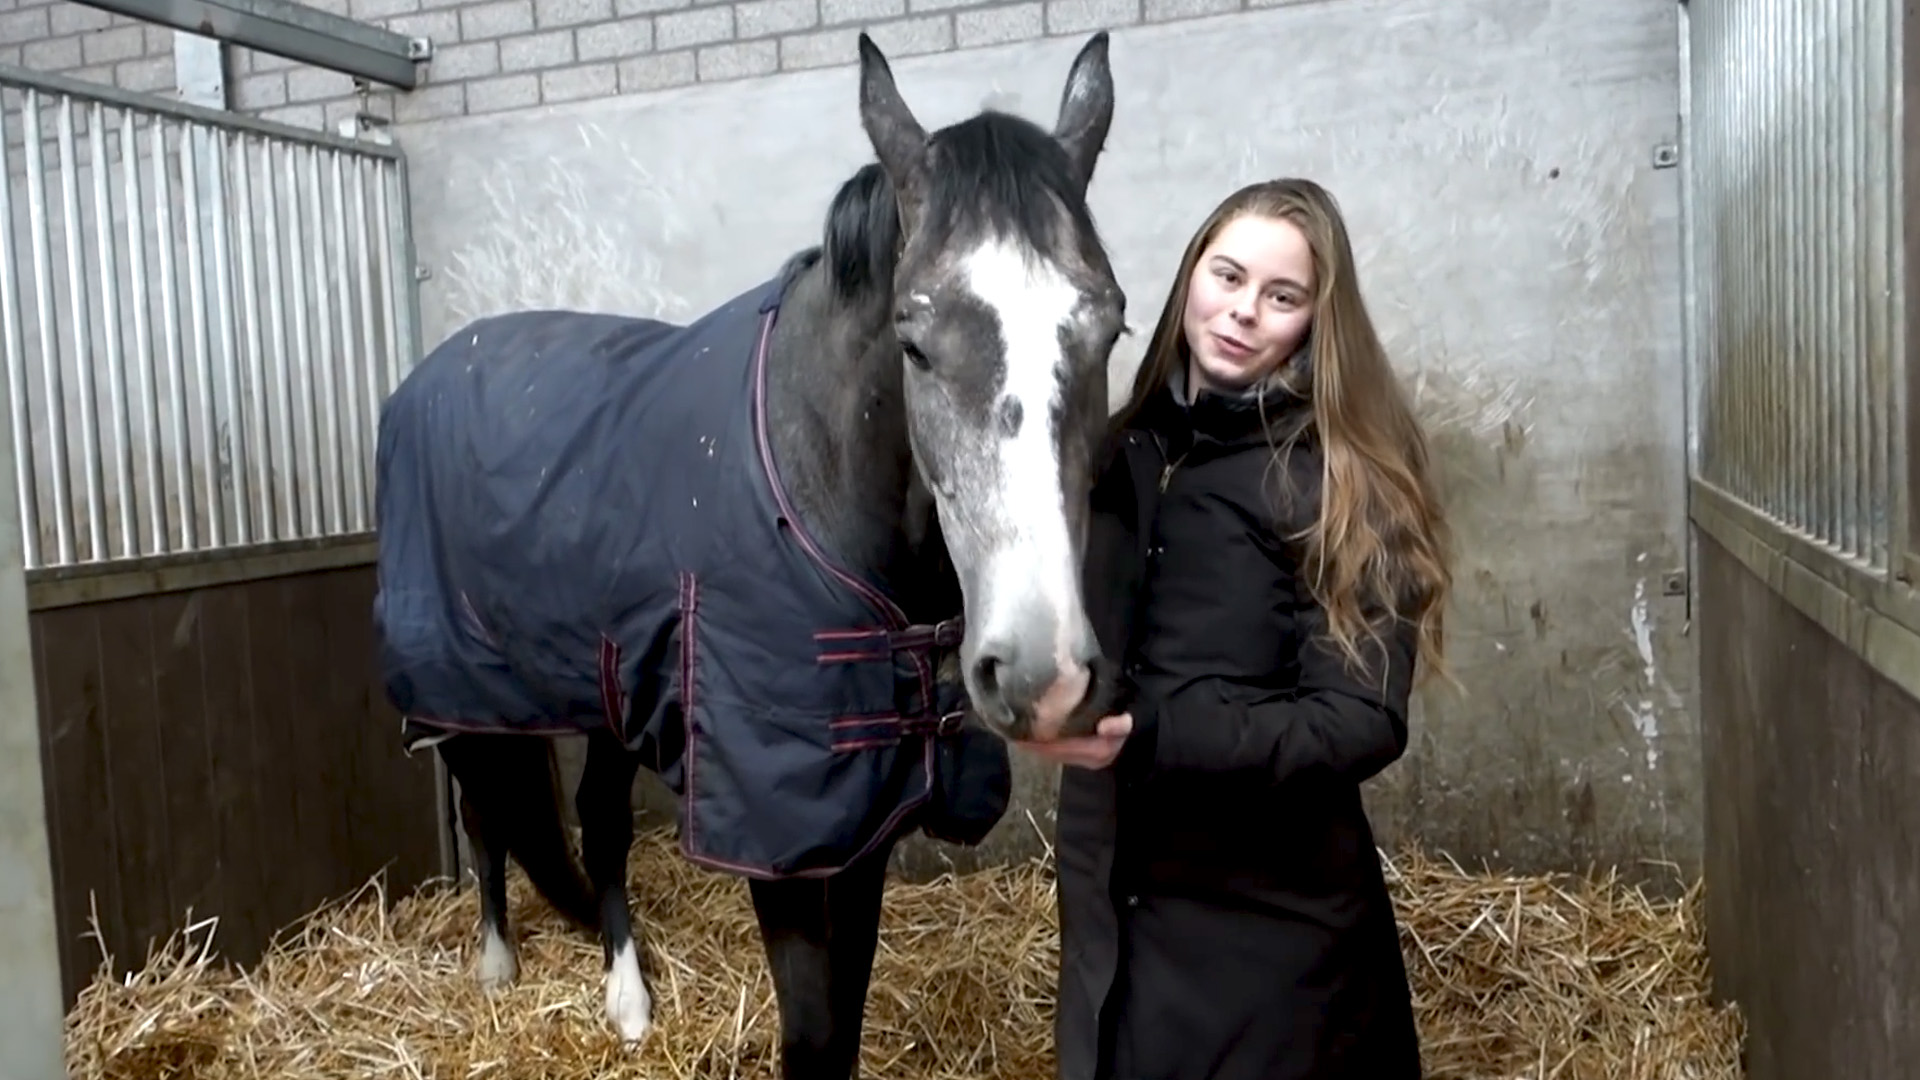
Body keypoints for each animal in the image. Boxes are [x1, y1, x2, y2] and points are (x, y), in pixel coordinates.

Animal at [370, 30, 1127, 1079]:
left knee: (597, 820)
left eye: (1111, 325)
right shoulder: (778, 823)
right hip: (467, 687)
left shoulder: (858, 817)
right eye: (914, 342)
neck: (809, 485)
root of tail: (427, 377)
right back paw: (497, 966)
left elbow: (841, 1019)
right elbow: (811, 1031)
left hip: (606, 684)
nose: (1043, 674)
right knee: (488, 808)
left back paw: (628, 1000)